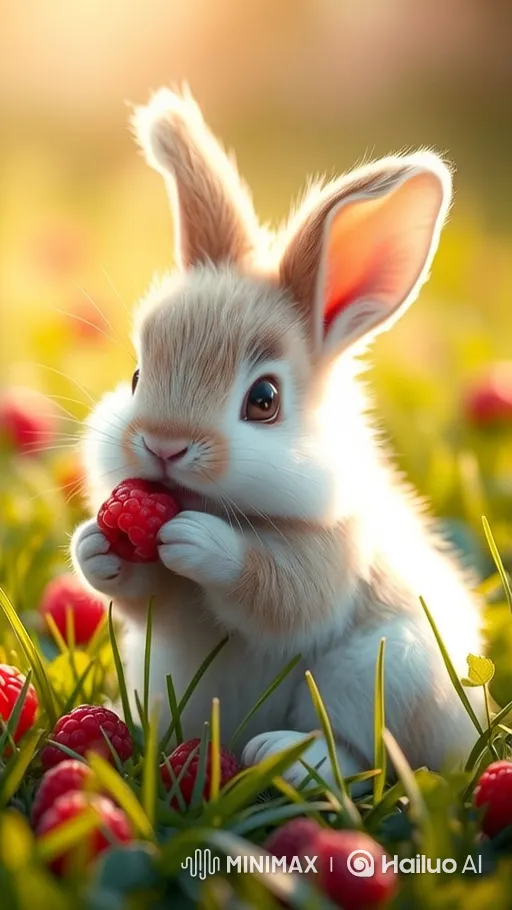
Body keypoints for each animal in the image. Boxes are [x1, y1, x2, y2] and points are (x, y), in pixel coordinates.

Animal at [71, 86, 485, 790]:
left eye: (263, 401)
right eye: (135, 376)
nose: (163, 445)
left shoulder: (331, 558)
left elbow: (278, 591)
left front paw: (198, 540)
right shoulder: (160, 608)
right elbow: (135, 593)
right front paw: (96, 544)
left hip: (384, 670)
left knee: (367, 756)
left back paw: (284, 754)